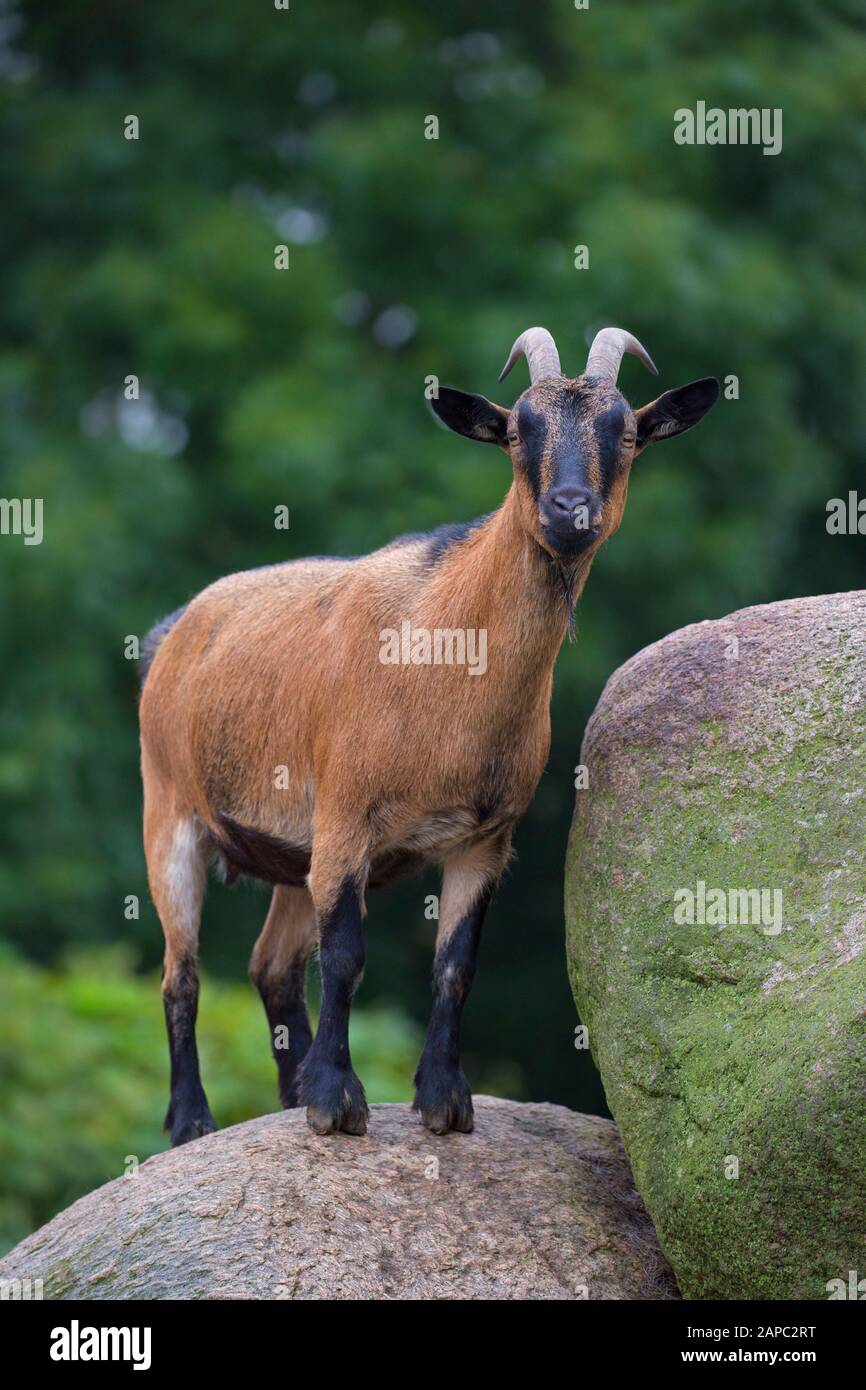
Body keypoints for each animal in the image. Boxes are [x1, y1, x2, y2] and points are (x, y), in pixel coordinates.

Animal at [139, 325, 719, 1143]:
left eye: (628, 433)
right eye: (517, 431)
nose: (570, 508)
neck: (443, 647)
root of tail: (174, 632)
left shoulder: (484, 839)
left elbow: (455, 964)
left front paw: (443, 1100)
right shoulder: (346, 816)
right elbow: (345, 957)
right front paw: (337, 1103)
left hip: (290, 852)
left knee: (271, 964)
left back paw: (285, 1091)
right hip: (171, 812)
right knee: (180, 972)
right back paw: (193, 1121)